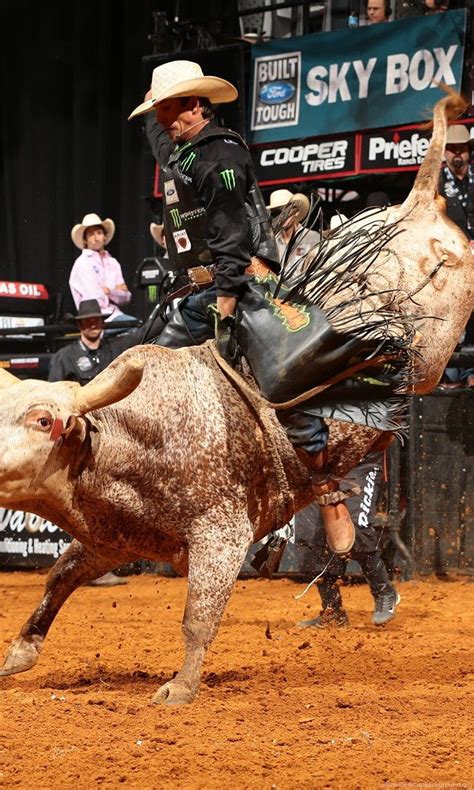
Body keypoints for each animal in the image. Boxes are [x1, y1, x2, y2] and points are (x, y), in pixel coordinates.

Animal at [0, 91, 473, 706]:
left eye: (43, 421)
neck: (120, 442)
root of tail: (413, 208)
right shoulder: (107, 540)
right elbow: (58, 578)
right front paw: (19, 654)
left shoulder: (221, 537)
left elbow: (198, 616)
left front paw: (179, 688)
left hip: (433, 343)